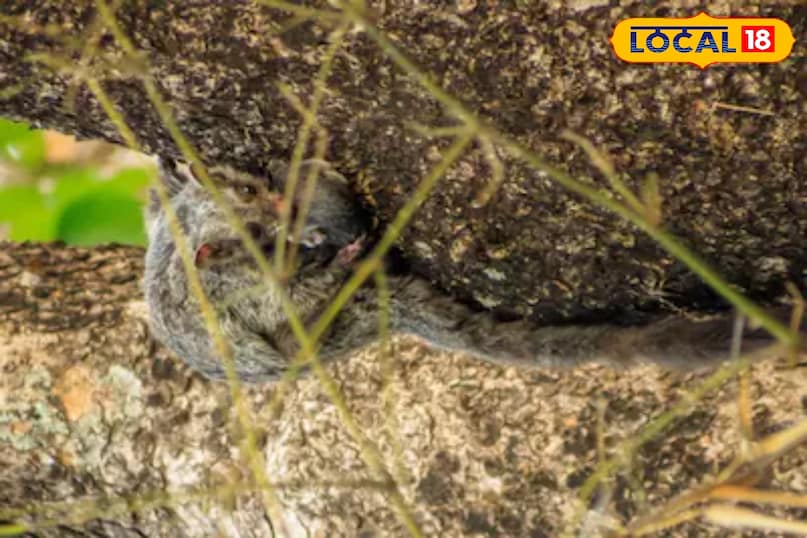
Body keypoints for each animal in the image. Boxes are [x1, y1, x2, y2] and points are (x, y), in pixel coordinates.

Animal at [144, 159, 791, 383]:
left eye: (248, 187)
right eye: (251, 211)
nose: (280, 201)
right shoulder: (238, 285)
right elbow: (279, 301)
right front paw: (324, 252)